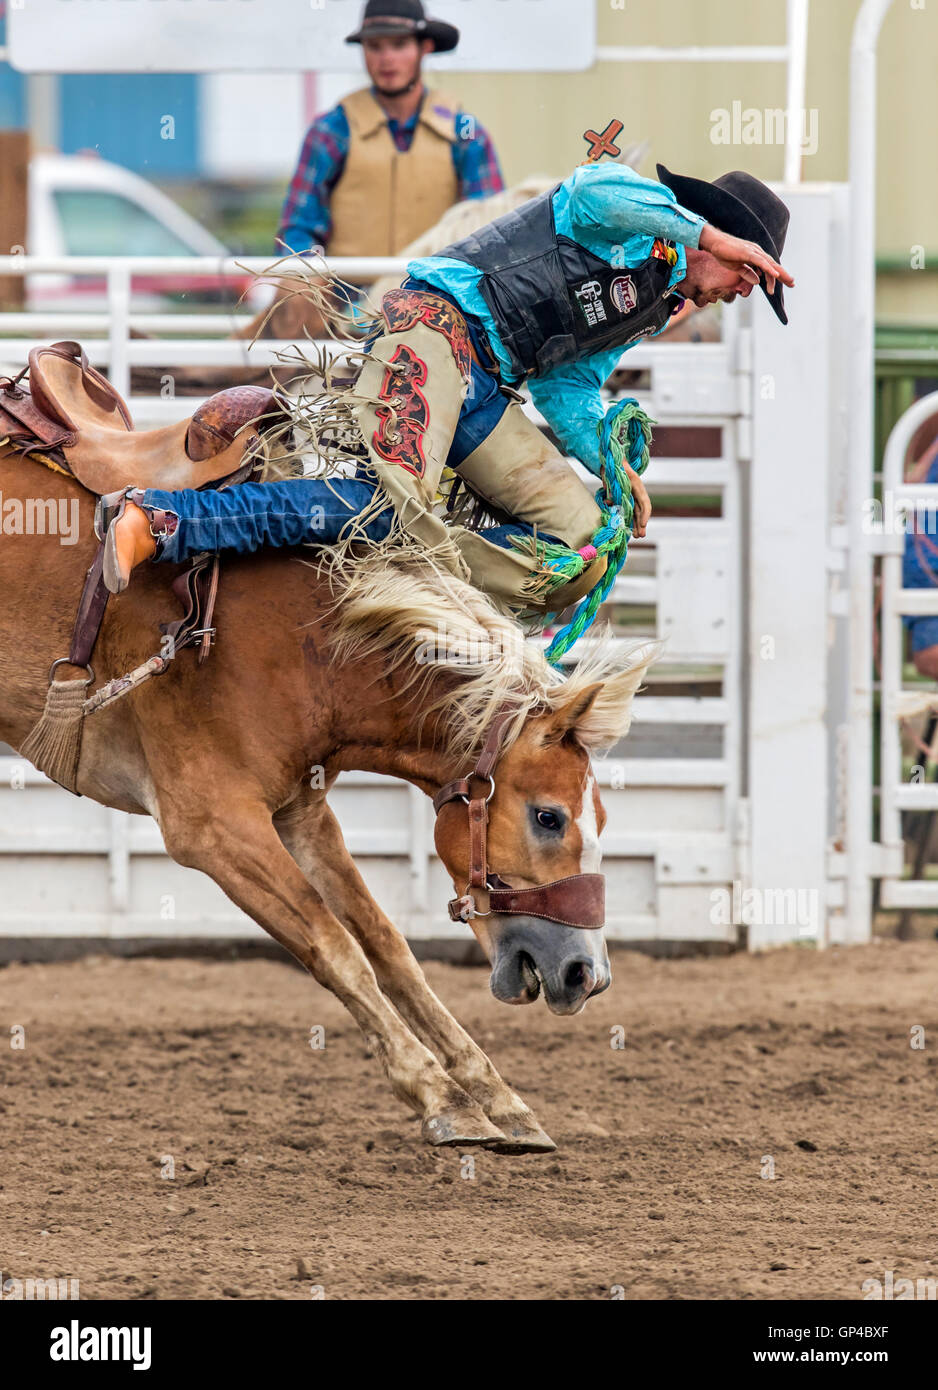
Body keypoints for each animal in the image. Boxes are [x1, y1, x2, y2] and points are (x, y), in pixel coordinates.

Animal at [0, 446, 657, 1152]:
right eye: (547, 817)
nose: (586, 974)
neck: (305, 652)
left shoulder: (301, 814)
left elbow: (388, 947)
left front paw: (501, 1099)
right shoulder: (216, 828)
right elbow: (335, 948)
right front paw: (444, 1100)